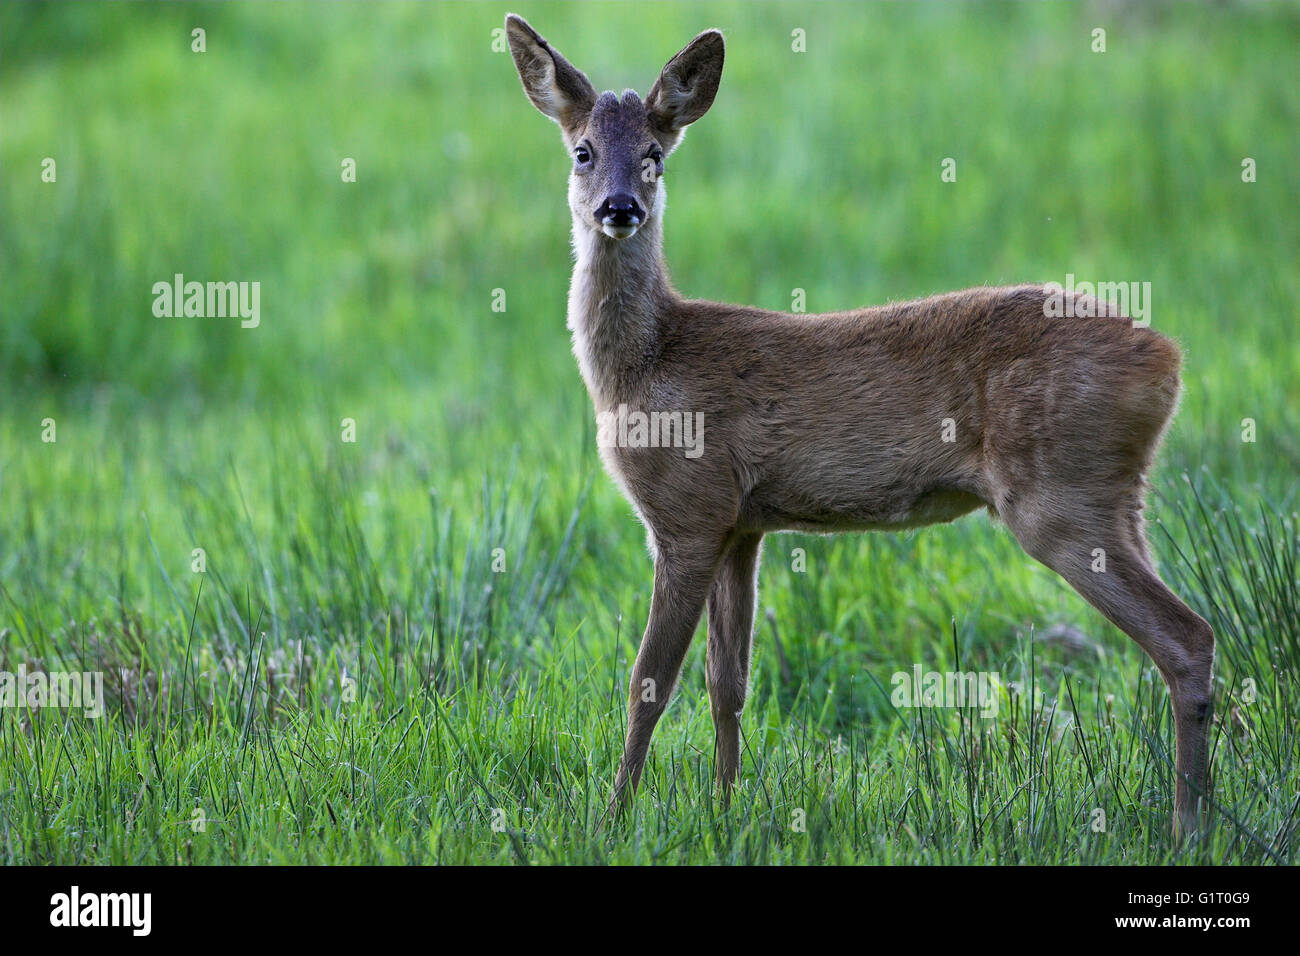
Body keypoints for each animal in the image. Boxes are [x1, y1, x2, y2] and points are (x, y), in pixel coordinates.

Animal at [504, 13, 1215, 838]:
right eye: (583, 151)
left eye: (653, 155)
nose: (619, 207)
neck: (643, 365)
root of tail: (1168, 358)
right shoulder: (741, 524)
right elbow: (728, 682)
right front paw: (724, 809)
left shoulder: (686, 510)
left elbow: (649, 679)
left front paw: (614, 815)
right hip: (1119, 496)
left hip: (1061, 496)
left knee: (1187, 637)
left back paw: (1189, 827)